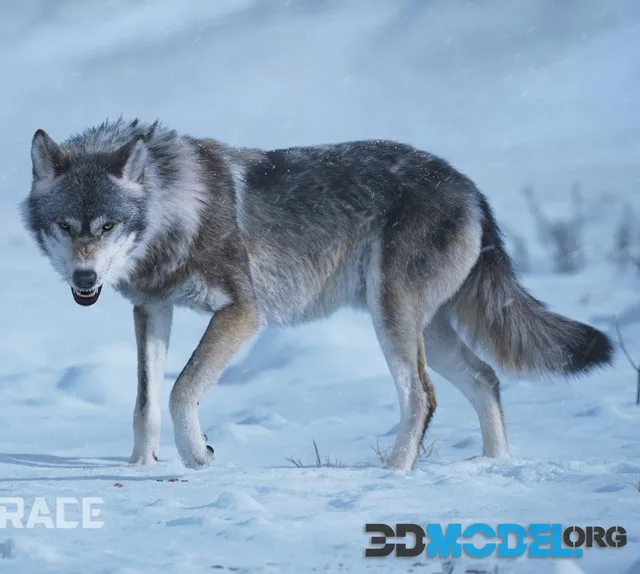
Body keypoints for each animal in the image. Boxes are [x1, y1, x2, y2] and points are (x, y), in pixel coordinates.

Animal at [21, 118, 613, 471]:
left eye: (107, 227)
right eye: (67, 227)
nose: (84, 280)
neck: (175, 214)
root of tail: (470, 188)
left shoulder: (243, 313)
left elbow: (180, 390)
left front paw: (198, 457)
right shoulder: (152, 308)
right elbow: (145, 402)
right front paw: (140, 470)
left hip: (391, 319)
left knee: (422, 396)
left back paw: (393, 474)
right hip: (427, 331)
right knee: (486, 378)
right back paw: (494, 466)